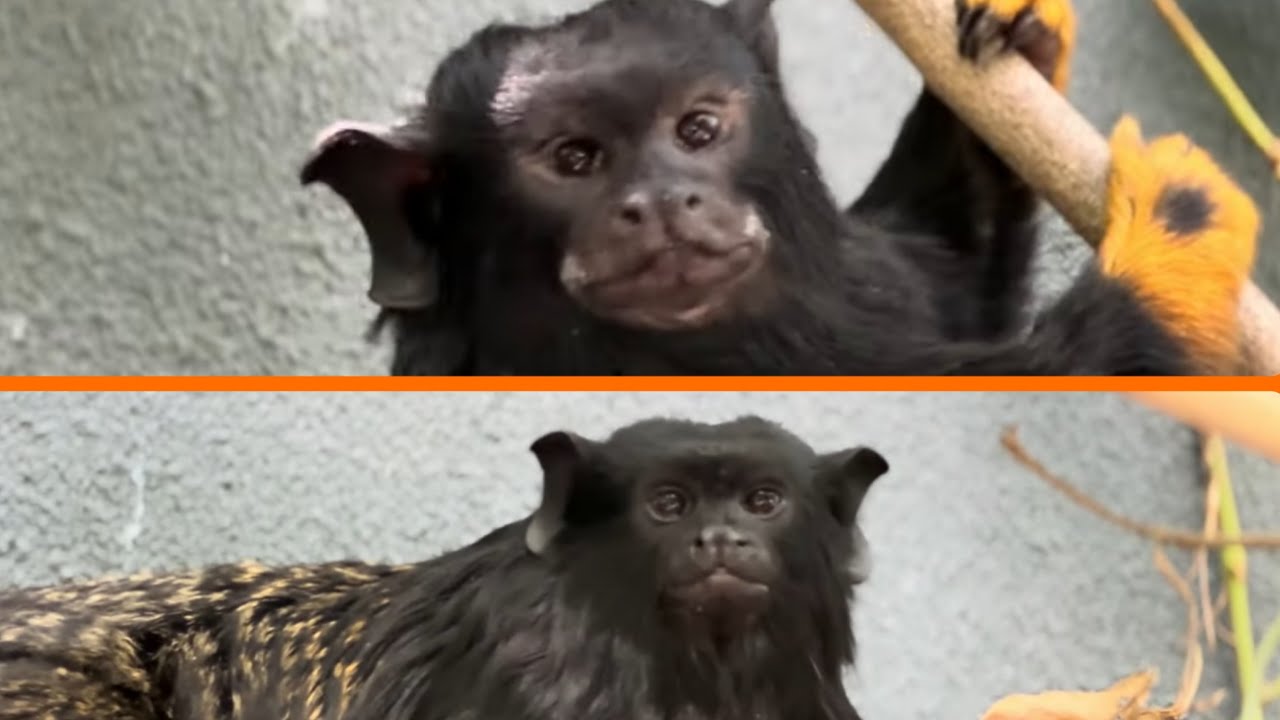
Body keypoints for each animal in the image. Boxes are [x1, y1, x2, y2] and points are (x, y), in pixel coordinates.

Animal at [299, 0, 1260, 376]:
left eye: (696, 131)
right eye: (575, 159)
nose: (661, 202)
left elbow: (946, 279)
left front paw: (1026, 32)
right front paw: (1179, 233)